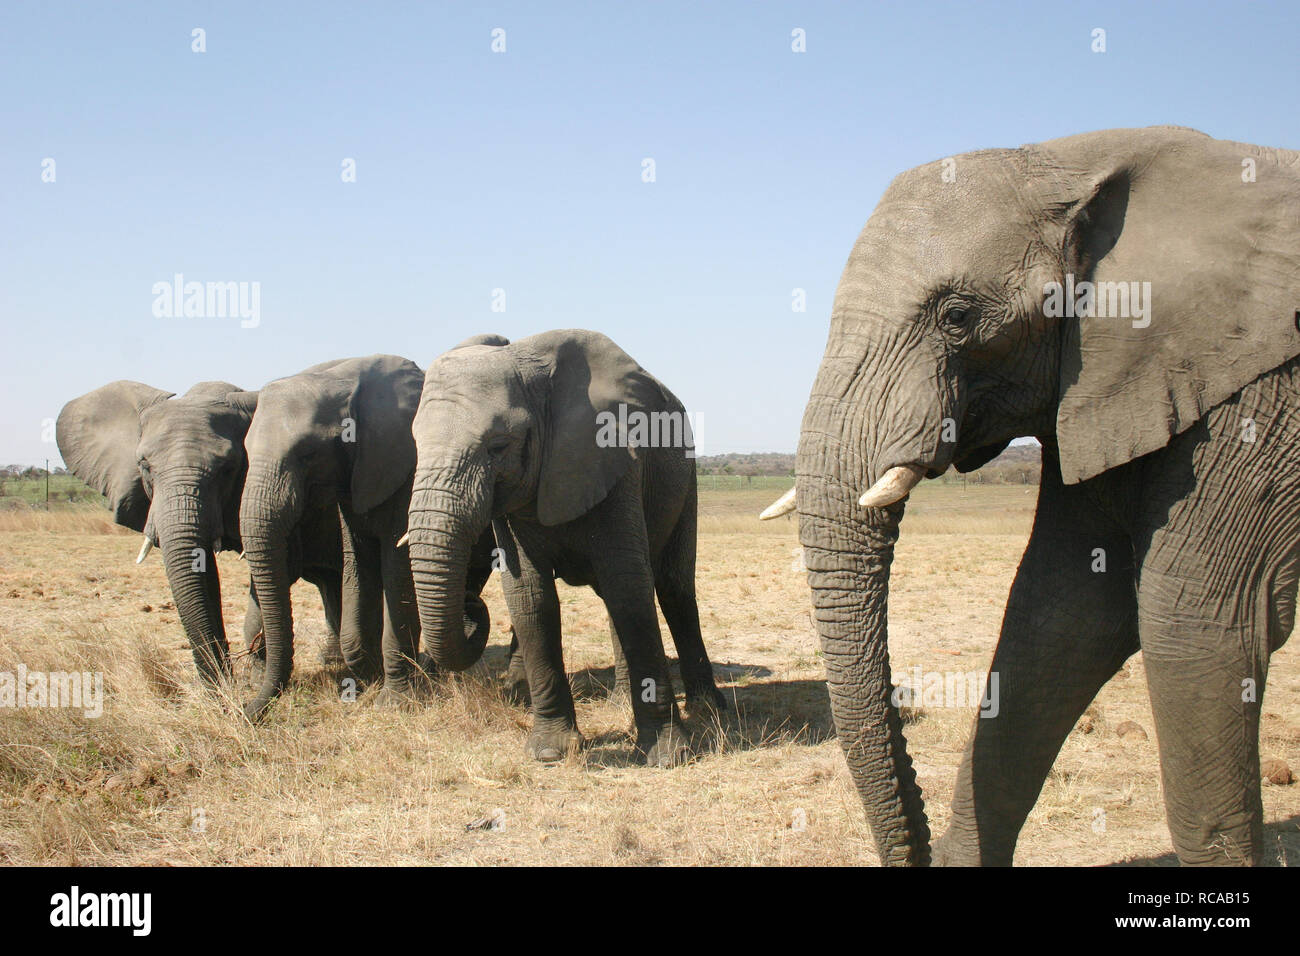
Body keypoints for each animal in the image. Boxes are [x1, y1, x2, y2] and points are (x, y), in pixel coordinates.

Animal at [56, 381, 344, 685]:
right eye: (144, 465)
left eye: (227, 469)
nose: (221, 684)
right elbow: (203, 573)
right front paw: (222, 683)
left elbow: (278, 570)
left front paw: (253, 680)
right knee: (328, 580)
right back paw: (333, 661)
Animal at [238, 354, 495, 720]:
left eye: (308, 453)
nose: (243, 712)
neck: (344, 377)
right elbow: (358, 566)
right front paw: (367, 678)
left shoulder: (406, 470)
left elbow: (398, 573)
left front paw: (395, 702)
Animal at [405, 329, 725, 766]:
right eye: (415, 444)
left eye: (498, 445)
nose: (471, 603)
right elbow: (529, 597)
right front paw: (548, 753)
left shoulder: (614, 461)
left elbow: (629, 586)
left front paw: (667, 755)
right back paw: (620, 702)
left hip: (685, 478)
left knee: (673, 589)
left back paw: (708, 708)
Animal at [763, 126, 1300, 866]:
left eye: (958, 316)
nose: (916, 852)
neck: (1076, 158)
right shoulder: (1108, 385)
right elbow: (1060, 616)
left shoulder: (1257, 402)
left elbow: (1194, 629)